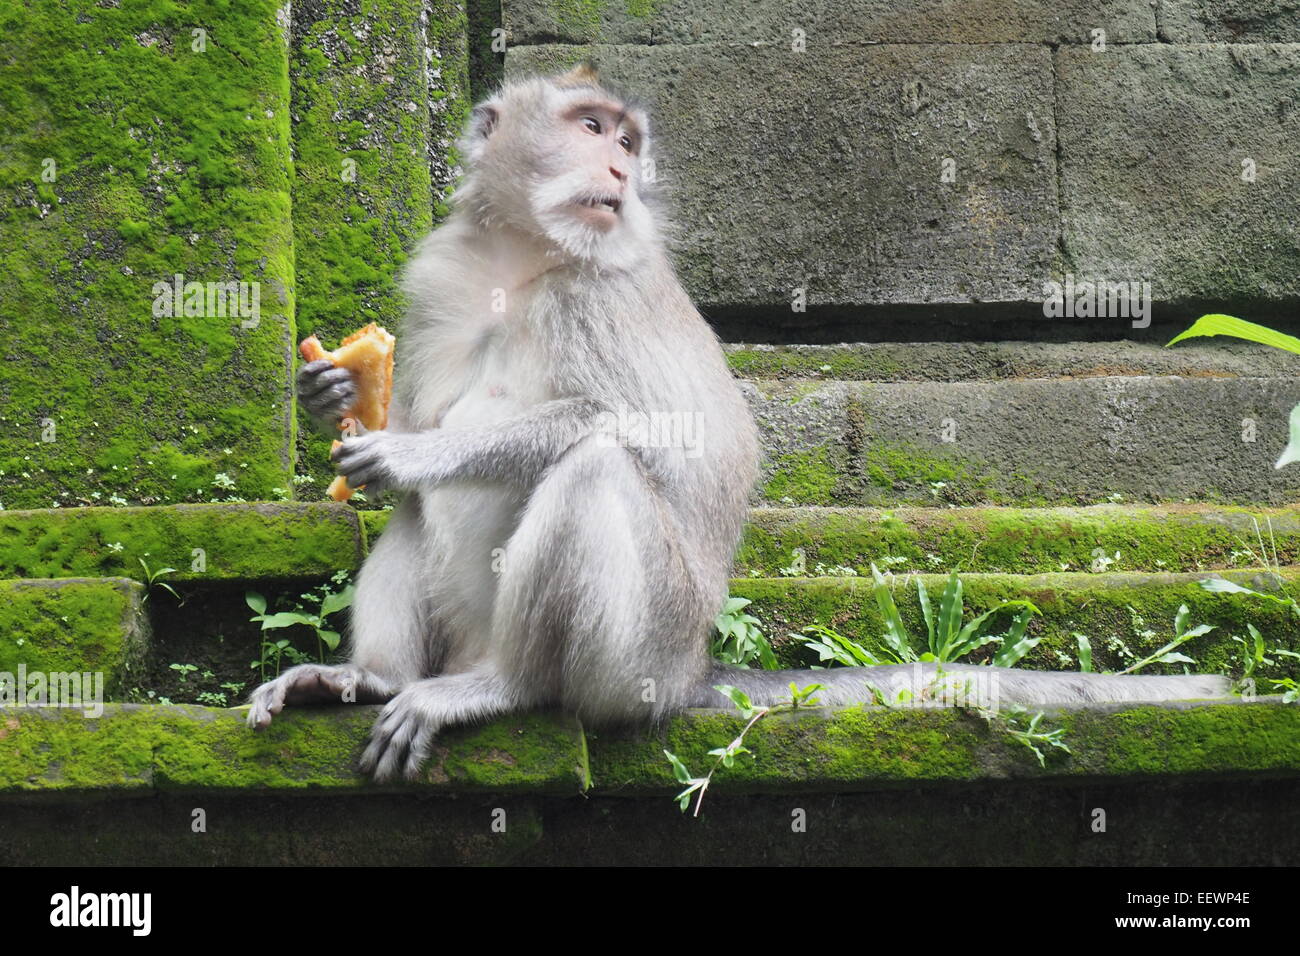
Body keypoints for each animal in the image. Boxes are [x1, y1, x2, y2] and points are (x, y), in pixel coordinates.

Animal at [247, 65, 1229, 783]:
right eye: (590, 128)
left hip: (643, 650)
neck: (524, 258)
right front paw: (328, 394)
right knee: (426, 517)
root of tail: (690, 677)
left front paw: (415, 450)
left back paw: (503, 688)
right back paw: (371, 677)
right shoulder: (441, 275)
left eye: (626, 140)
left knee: (593, 469)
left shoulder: (603, 294)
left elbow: (631, 427)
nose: (620, 170)